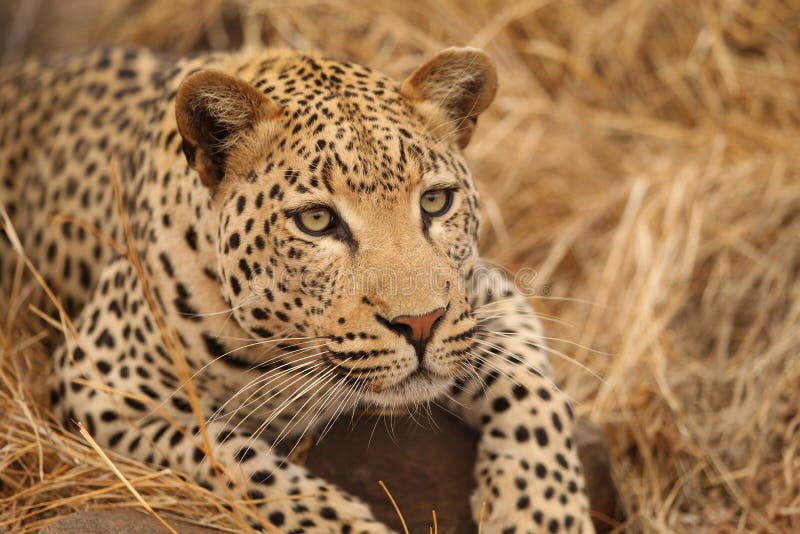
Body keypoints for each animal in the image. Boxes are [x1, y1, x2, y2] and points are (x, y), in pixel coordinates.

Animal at [0, 45, 593, 533]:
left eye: (434, 202)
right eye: (316, 220)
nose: (419, 325)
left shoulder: (483, 294)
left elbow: (532, 388)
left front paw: (544, 517)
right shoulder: (100, 382)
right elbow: (233, 462)